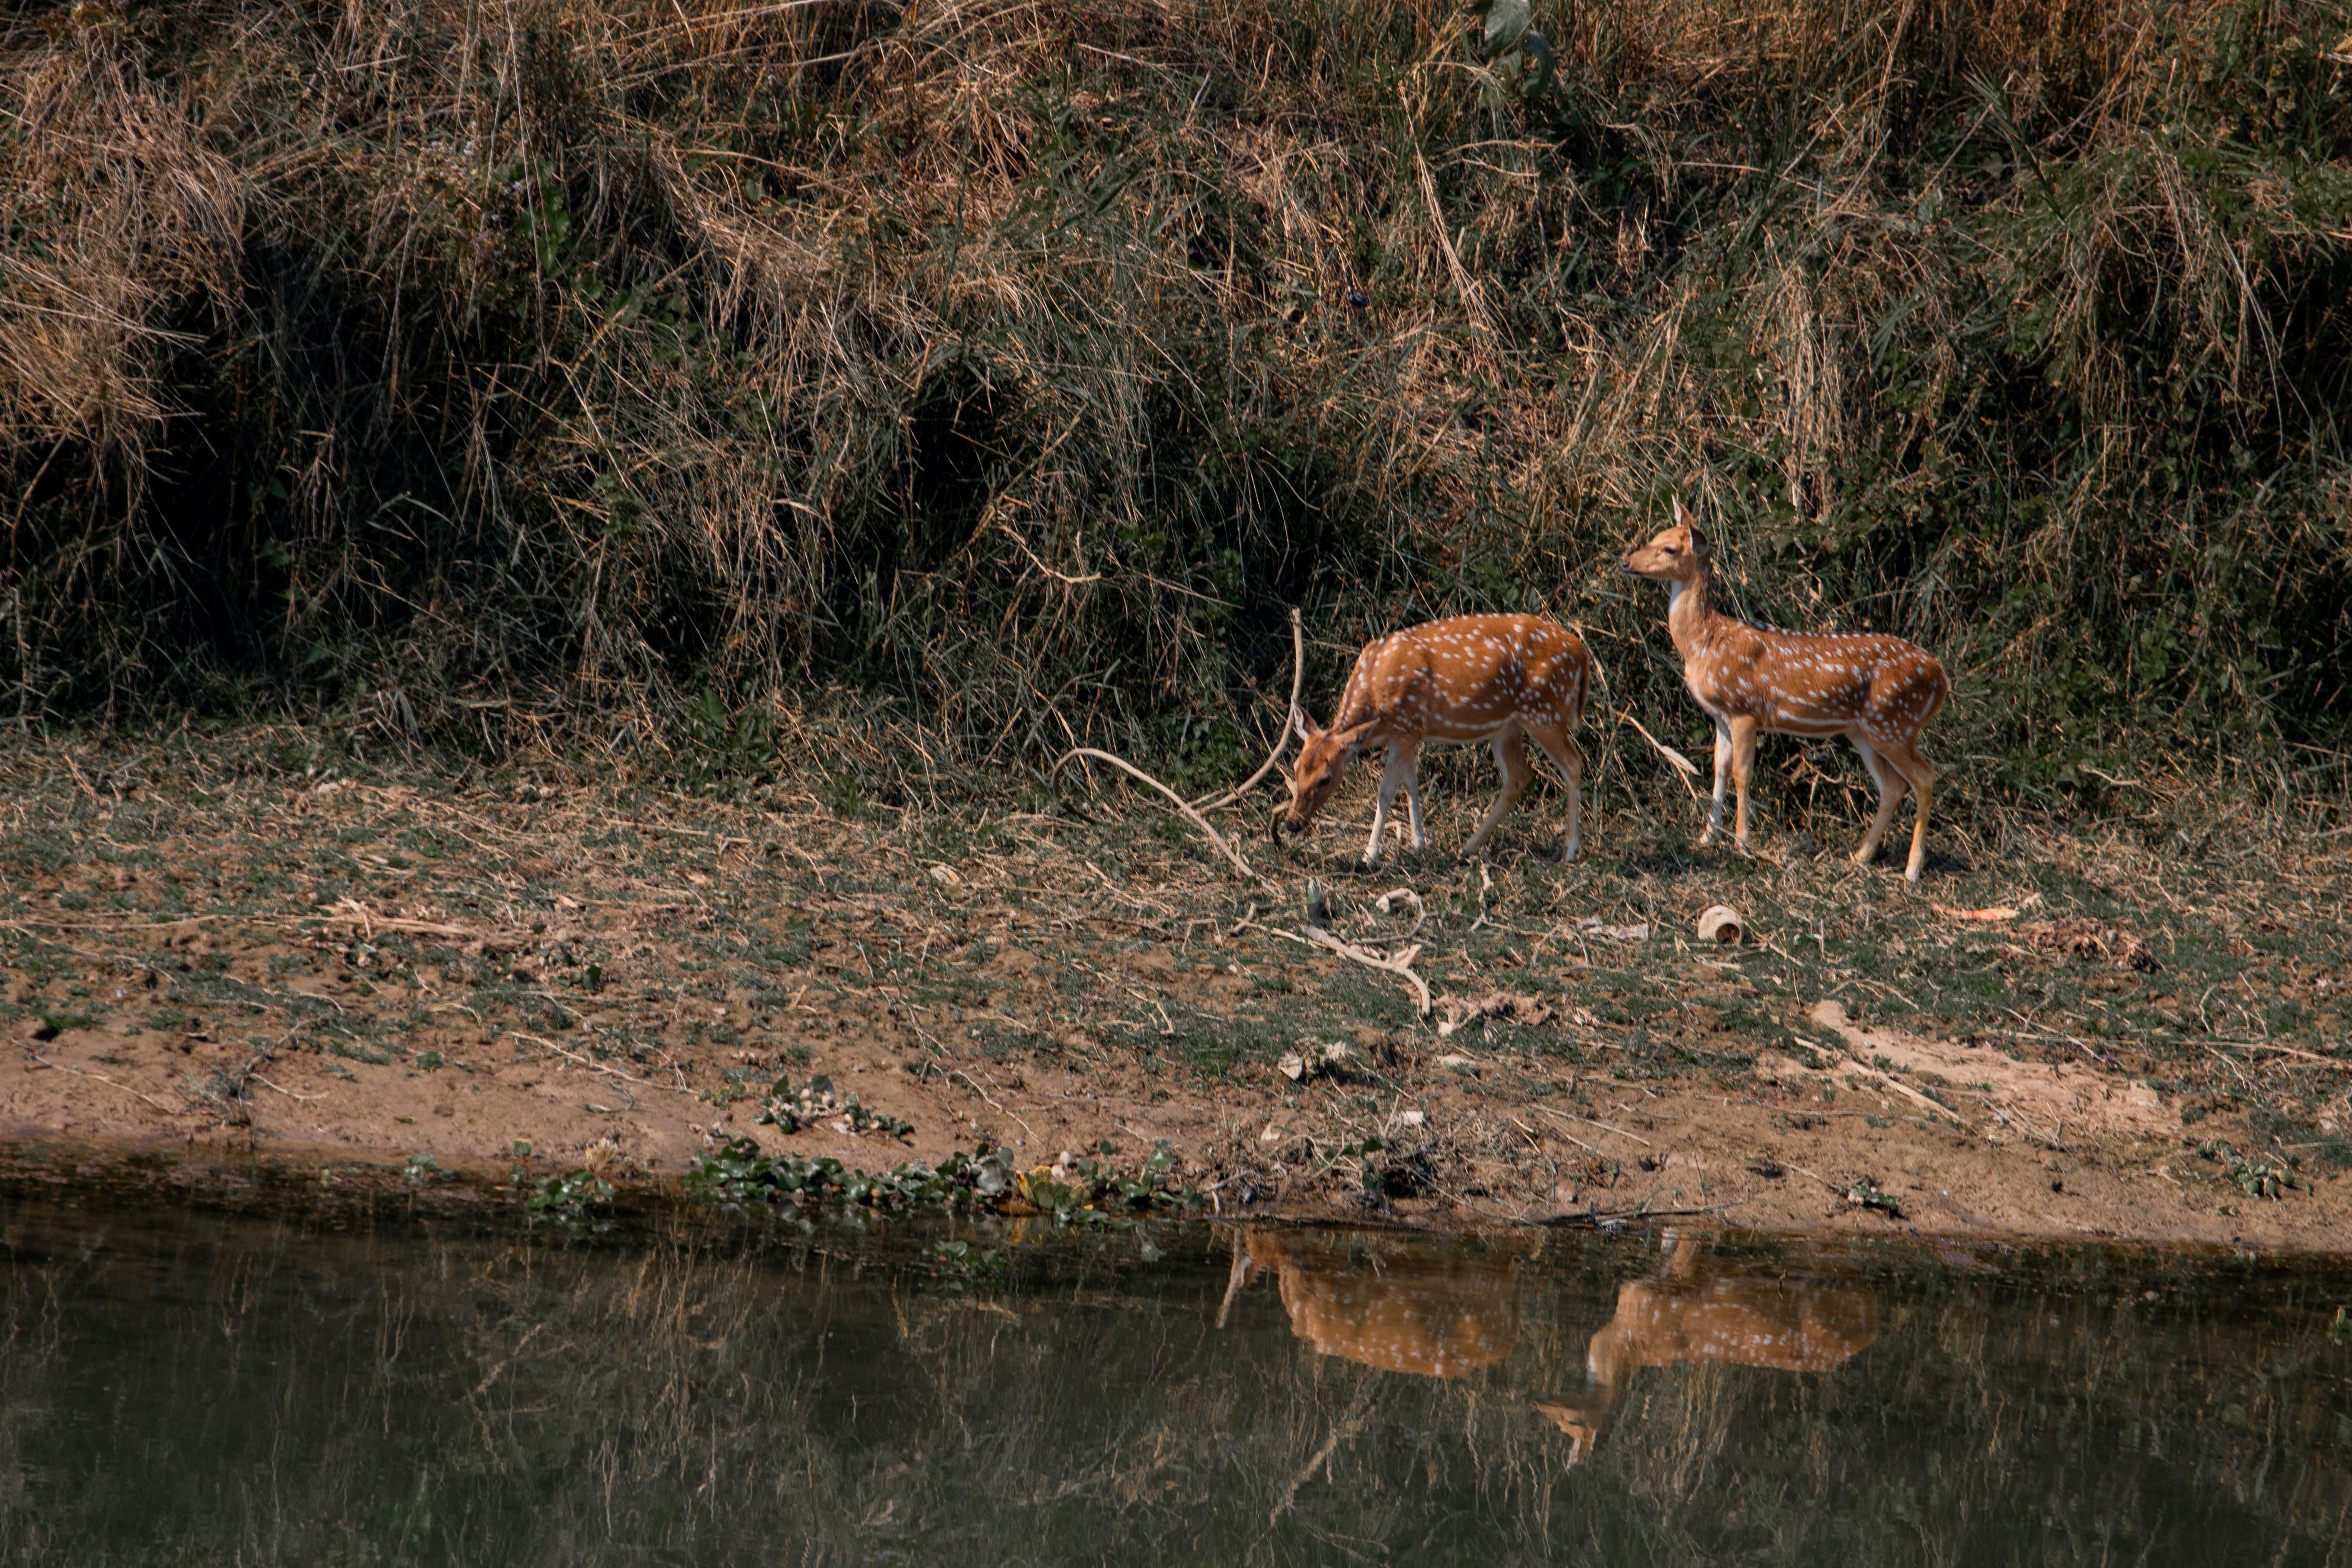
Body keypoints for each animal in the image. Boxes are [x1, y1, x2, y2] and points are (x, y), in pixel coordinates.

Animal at [1274, 614, 1591, 868]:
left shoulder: (1406, 727)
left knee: (1573, 763)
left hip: (1545, 712)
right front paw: (1419, 844)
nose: (1292, 823)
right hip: (1507, 728)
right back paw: (1468, 847)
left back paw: (1570, 852)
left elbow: (1386, 790)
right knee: (1518, 777)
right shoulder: (1409, 732)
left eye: (1326, 779)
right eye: (1295, 767)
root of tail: (1582, 653)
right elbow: (1411, 785)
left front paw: (1370, 855)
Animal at [1621, 500, 1949, 881]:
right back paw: (1861, 855)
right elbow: (1719, 769)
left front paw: (1743, 843)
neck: (1705, 643)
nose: (1626, 562)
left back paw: (1912, 869)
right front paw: (1707, 836)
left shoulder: (1744, 709)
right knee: (1893, 786)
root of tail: (1942, 679)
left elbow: (1743, 774)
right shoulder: (1720, 717)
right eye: (1654, 537)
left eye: (1670, 548)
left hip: (1896, 722)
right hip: (1865, 730)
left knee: (1925, 778)